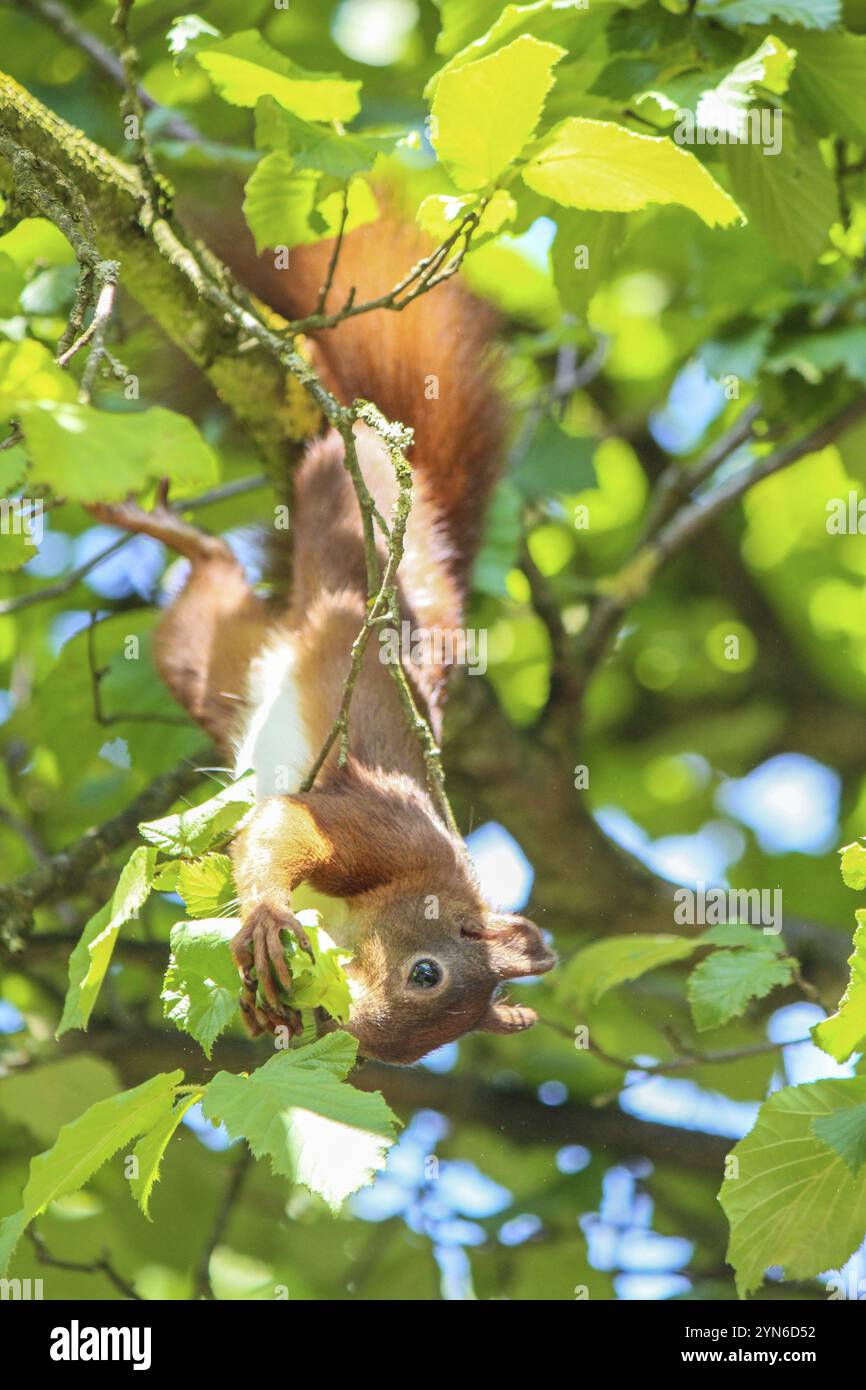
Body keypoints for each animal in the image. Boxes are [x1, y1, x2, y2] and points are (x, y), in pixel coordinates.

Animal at [92, 210, 556, 1064]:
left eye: (393, 1056)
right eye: (427, 973)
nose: (355, 1030)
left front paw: (269, 1013)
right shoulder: (387, 831)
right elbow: (281, 824)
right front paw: (267, 917)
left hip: (216, 661)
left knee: (210, 587)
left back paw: (180, 536)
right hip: (343, 506)